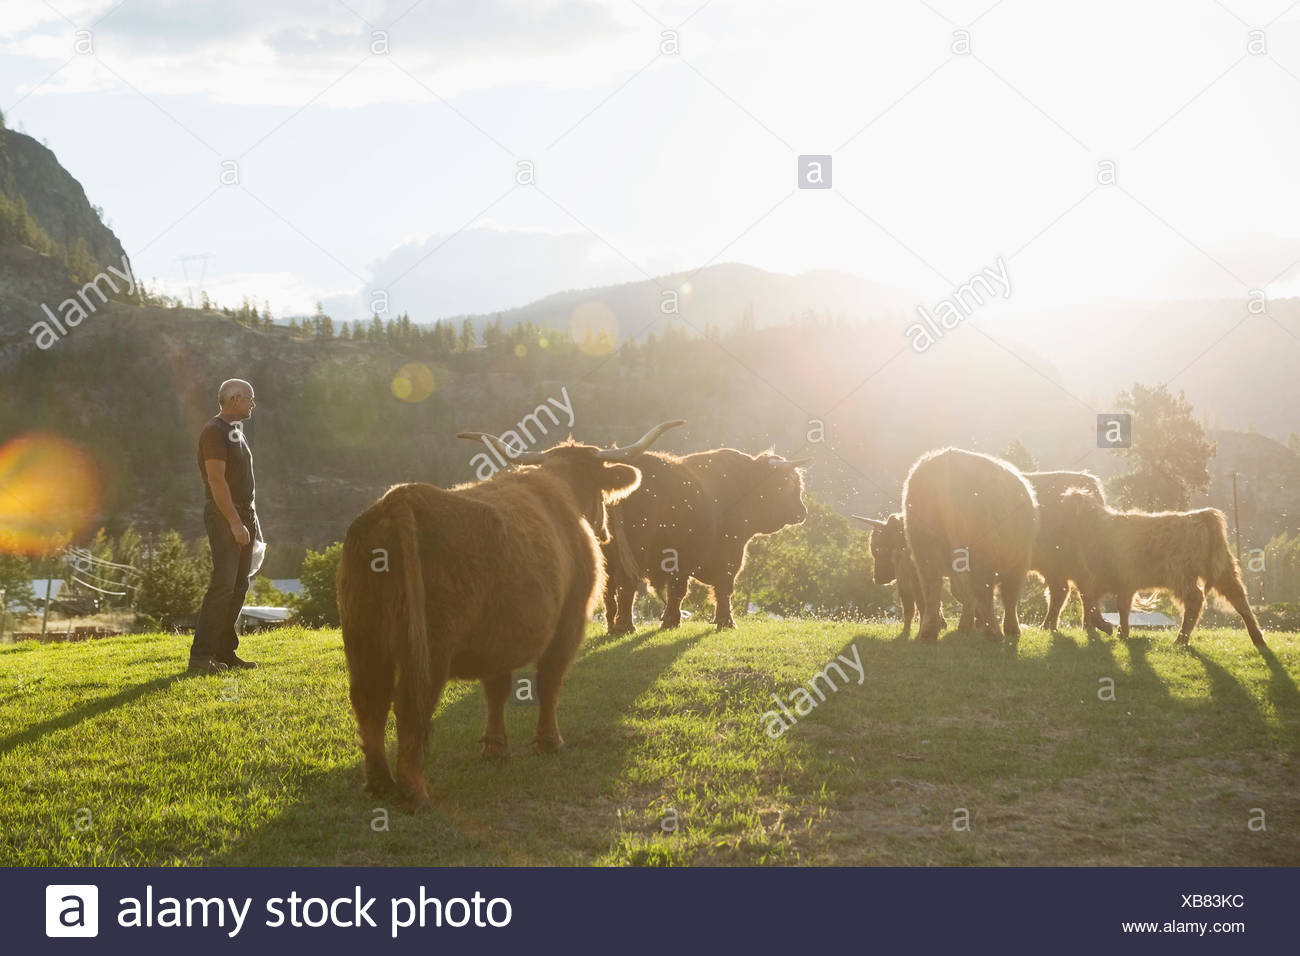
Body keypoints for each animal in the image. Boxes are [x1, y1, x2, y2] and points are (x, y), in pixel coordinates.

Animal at [337, 420, 684, 807]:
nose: (606, 531)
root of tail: (402, 499)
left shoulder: (498, 638)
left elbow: (497, 689)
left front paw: (495, 747)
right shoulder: (569, 622)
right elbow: (549, 681)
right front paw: (550, 742)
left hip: (363, 639)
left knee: (369, 700)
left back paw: (379, 783)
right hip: (429, 647)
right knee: (411, 703)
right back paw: (415, 792)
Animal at [602, 447, 809, 633]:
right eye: (785, 484)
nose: (802, 512)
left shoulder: (681, 562)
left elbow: (678, 592)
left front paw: (671, 621)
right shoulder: (729, 553)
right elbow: (722, 588)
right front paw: (726, 622)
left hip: (608, 555)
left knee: (609, 589)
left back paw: (612, 626)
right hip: (633, 552)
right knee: (626, 585)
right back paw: (625, 626)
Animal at [903, 447, 1039, 643]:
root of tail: (945, 462)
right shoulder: (1019, 562)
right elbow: (1009, 596)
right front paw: (1013, 629)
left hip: (924, 550)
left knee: (932, 590)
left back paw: (930, 634)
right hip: (981, 555)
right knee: (983, 591)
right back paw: (995, 634)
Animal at [1052, 490, 1266, 647]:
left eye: (1063, 508)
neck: (1096, 529)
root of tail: (1203, 514)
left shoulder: (1111, 578)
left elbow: (1094, 602)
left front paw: (1108, 627)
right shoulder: (1120, 583)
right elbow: (1112, 605)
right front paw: (1121, 632)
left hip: (1181, 575)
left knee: (1195, 600)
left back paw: (1180, 639)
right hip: (1224, 570)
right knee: (1239, 598)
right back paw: (1257, 637)